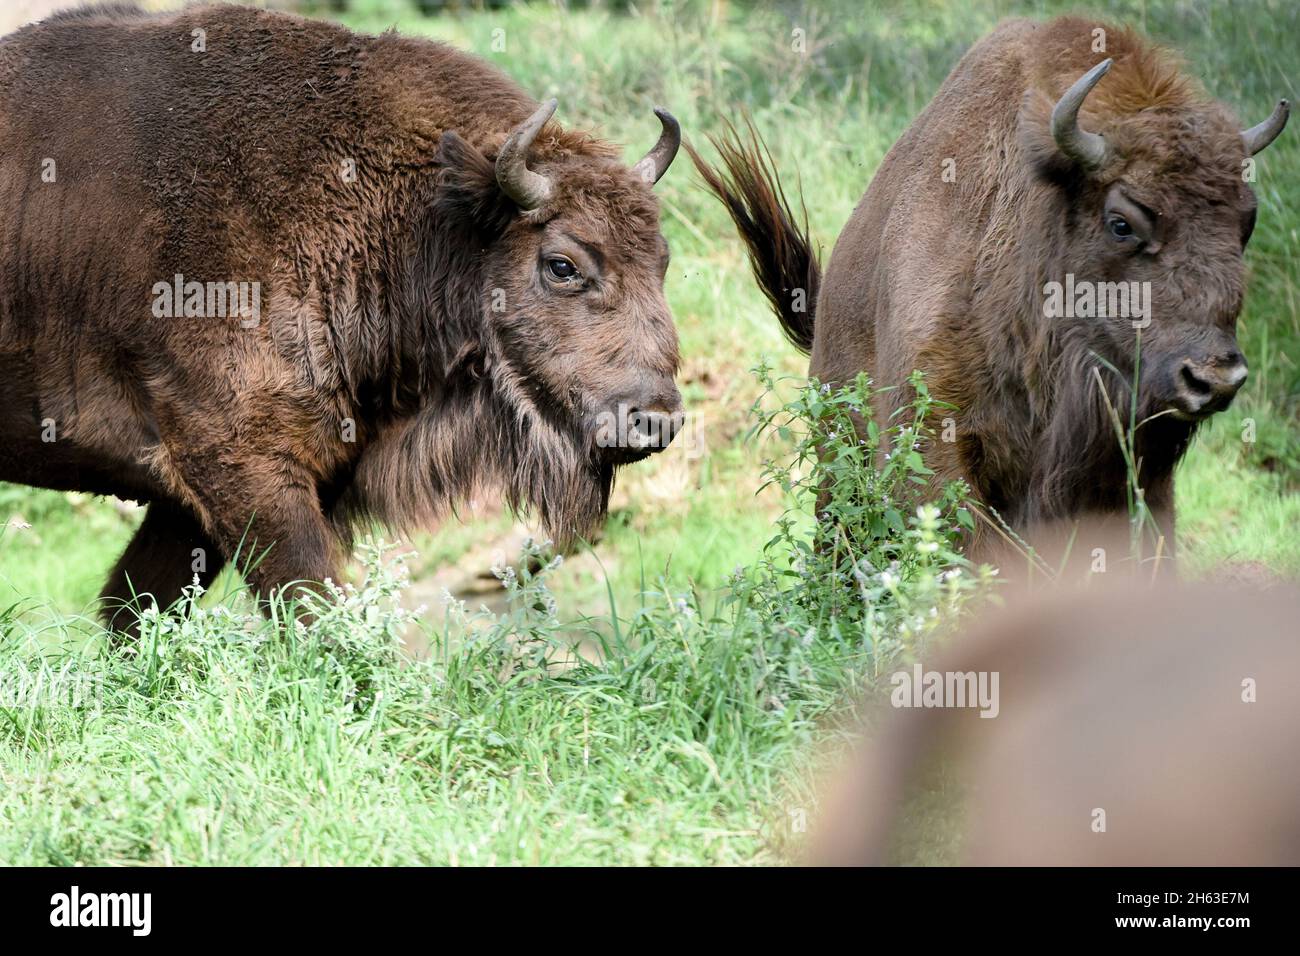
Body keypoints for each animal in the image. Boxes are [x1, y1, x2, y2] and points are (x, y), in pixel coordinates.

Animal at [0, 3, 684, 628]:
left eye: (663, 258)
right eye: (562, 264)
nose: (655, 420)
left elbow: (135, 606)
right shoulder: (239, 460)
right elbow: (312, 607)